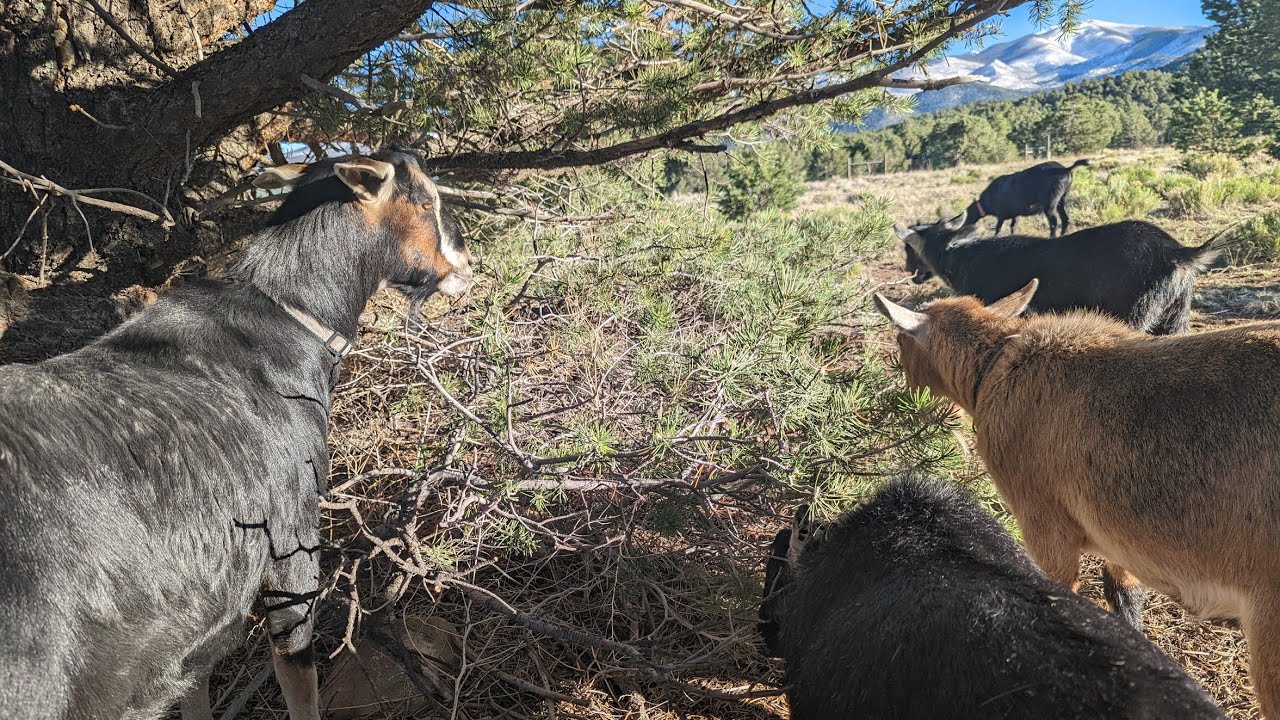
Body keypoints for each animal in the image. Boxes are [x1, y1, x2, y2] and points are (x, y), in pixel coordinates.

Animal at [0, 148, 472, 719]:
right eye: (425, 199)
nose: (467, 263)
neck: (286, 317)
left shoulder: (199, 611)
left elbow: (194, 683)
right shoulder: (290, 537)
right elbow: (297, 674)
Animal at [874, 281, 1280, 718]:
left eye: (900, 341)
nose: (905, 402)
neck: (997, 364)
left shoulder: (1044, 524)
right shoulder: (1119, 537)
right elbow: (1124, 599)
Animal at [899, 216, 1229, 335]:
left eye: (909, 249)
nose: (909, 273)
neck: (959, 253)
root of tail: (1179, 252)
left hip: (1133, 311)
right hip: (1175, 317)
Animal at [961, 159, 1089, 237]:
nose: (961, 227)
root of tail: (1065, 169)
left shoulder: (1001, 215)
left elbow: (998, 228)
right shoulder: (1015, 215)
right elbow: (1013, 227)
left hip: (1050, 202)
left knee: (1053, 221)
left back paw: (1052, 237)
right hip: (1063, 198)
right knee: (1065, 219)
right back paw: (1063, 235)